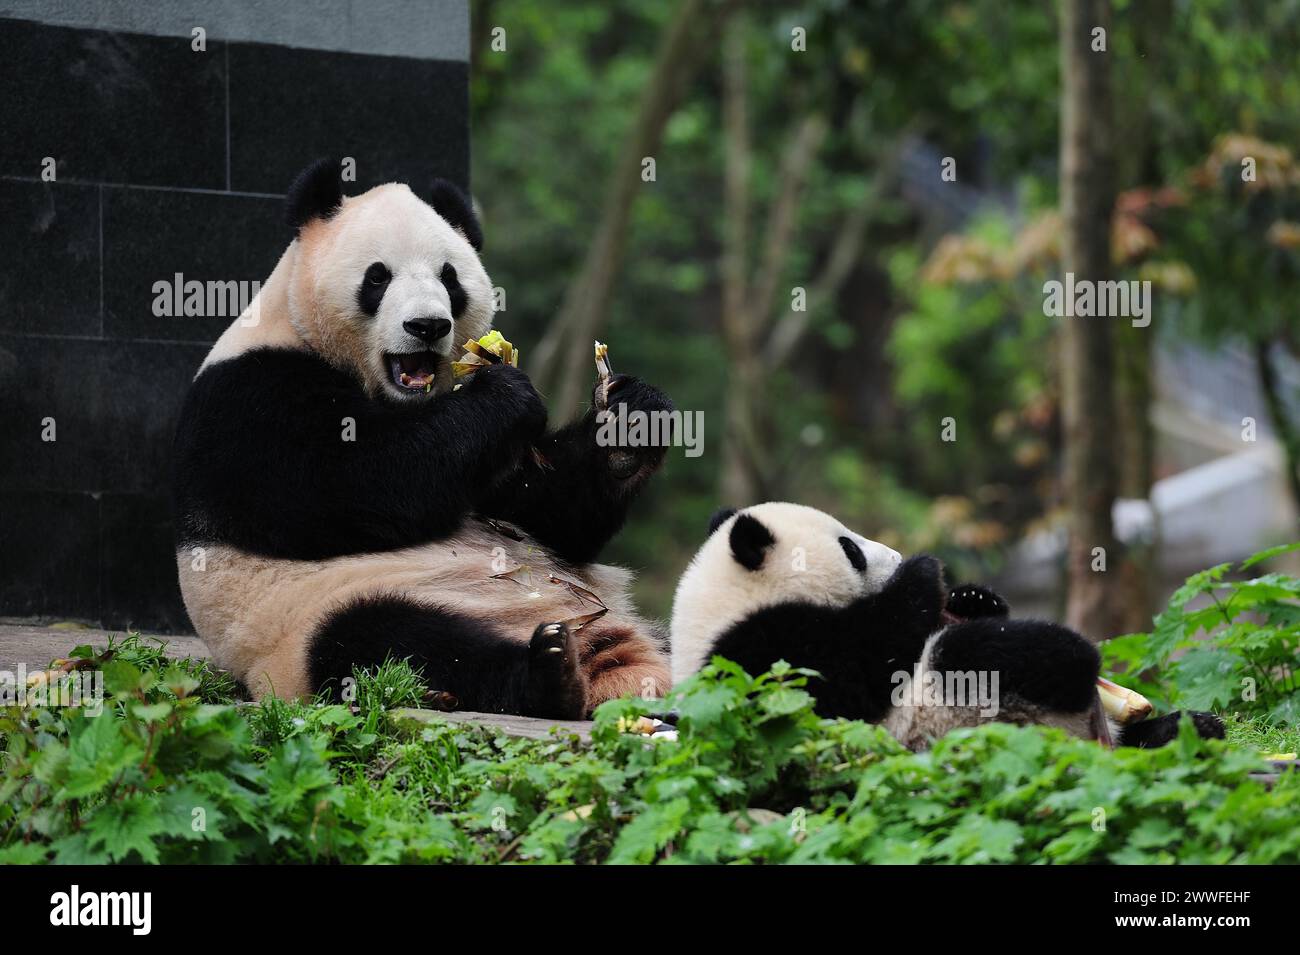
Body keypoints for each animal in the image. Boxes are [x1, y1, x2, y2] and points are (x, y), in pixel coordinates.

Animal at [173, 158, 673, 718]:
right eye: (377, 276)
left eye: (449, 278)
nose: (427, 326)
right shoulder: (247, 396)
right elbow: (347, 483)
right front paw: (506, 394)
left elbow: (546, 514)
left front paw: (629, 425)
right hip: (316, 618)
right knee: (394, 642)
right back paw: (548, 674)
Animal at [670, 502, 1224, 749]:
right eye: (850, 549)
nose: (895, 556)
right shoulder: (758, 653)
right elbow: (848, 676)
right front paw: (920, 573)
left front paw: (972, 596)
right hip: (958, 718)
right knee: (982, 655)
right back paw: (1075, 656)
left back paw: (1188, 727)